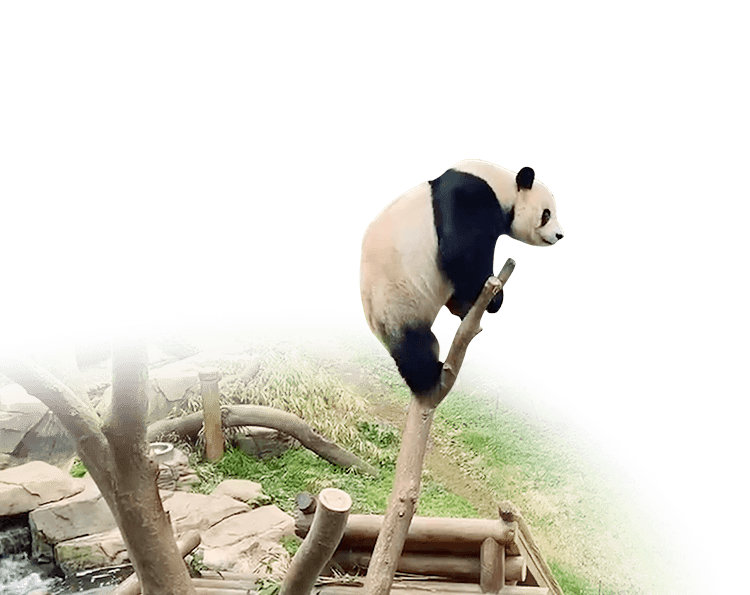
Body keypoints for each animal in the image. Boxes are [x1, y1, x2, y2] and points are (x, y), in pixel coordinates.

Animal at [359, 159, 563, 398]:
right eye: (546, 214)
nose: (560, 235)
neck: (502, 185)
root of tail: (373, 322)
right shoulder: (471, 196)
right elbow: (461, 252)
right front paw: (494, 299)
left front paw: (465, 306)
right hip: (398, 297)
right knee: (415, 346)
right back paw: (429, 379)